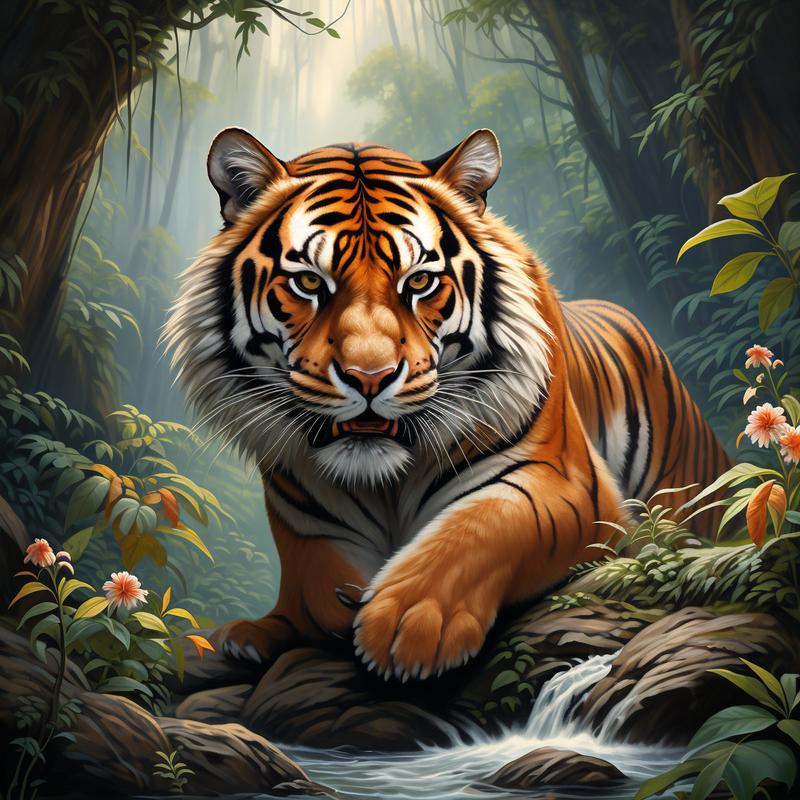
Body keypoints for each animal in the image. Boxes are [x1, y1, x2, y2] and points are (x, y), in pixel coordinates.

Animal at [165, 127, 730, 681]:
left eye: (419, 281)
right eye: (308, 281)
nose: (369, 377)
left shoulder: (567, 485)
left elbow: (485, 524)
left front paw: (410, 620)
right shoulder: (306, 519)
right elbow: (312, 578)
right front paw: (284, 624)